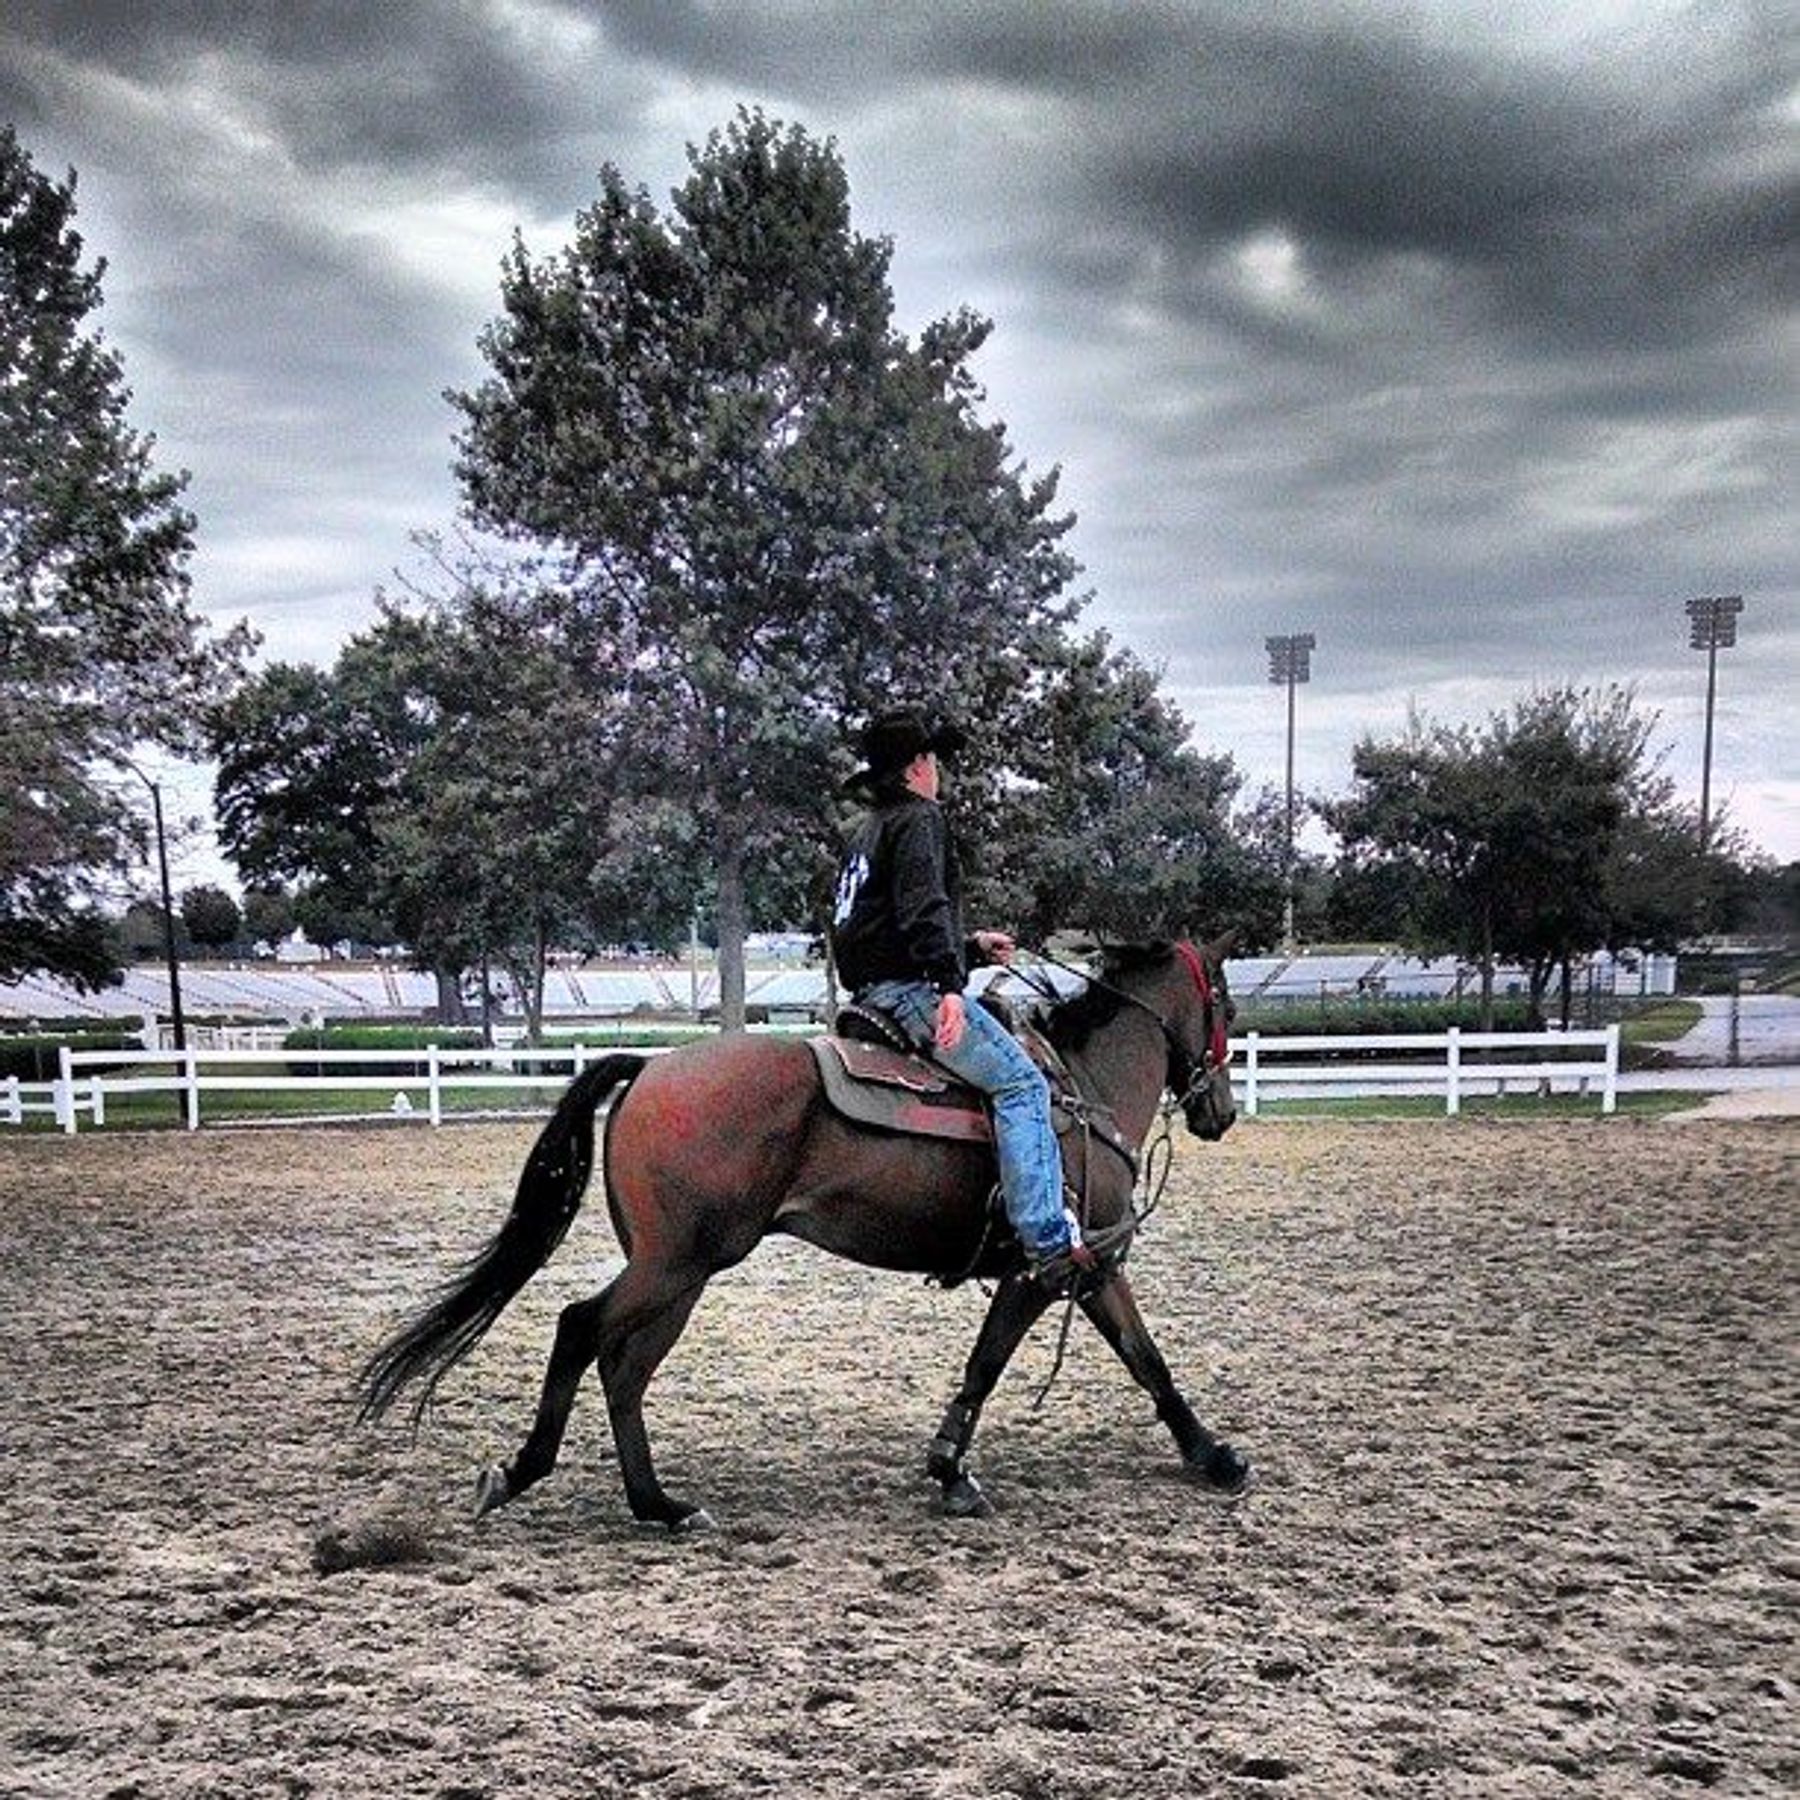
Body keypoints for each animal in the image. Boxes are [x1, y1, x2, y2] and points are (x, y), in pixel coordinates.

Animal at [356, 937, 1252, 1528]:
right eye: (1227, 1005)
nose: (1220, 1111)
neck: (1081, 1086)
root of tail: (650, 1067)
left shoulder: (1087, 1266)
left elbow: (1141, 1358)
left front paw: (1210, 1455)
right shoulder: (1053, 1267)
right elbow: (1005, 1363)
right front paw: (951, 1469)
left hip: (678, 1273)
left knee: (623, 1367)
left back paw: (658, 1504)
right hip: (677, 1264)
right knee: (581, 1330)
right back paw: (525, 1472)